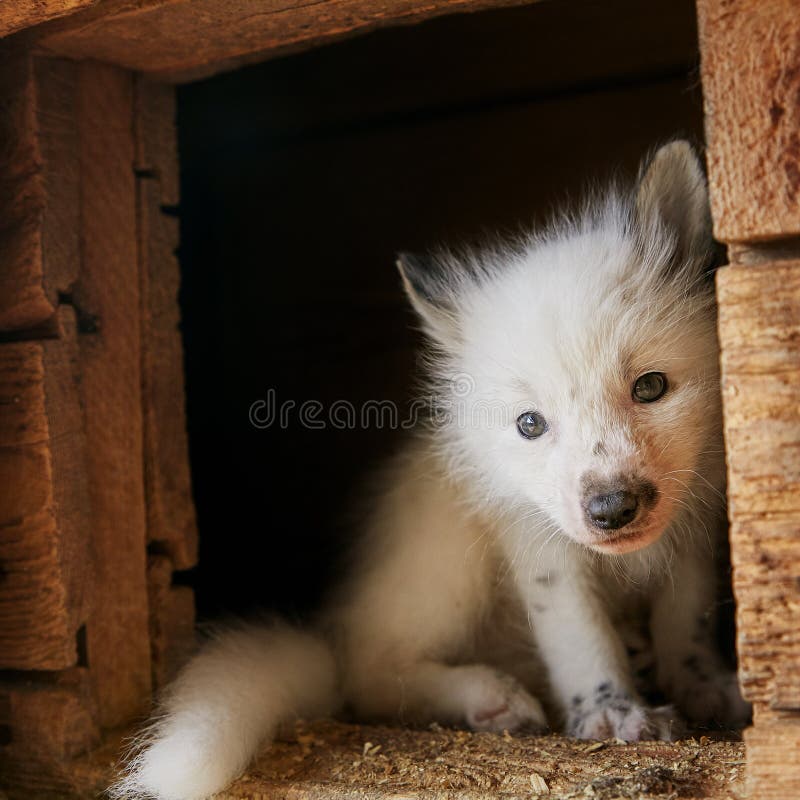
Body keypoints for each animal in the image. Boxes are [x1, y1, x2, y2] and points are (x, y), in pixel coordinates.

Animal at [113, 141, 750, 800]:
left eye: (650, 387)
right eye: (529, 425)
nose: (611, 510)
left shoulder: (695, 528)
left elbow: (685, 622)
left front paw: (705, 686)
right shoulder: (537, 542)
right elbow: (579, 636)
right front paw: (611, 712)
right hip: (446, 556)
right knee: (368, 673)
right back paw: (488, 695)